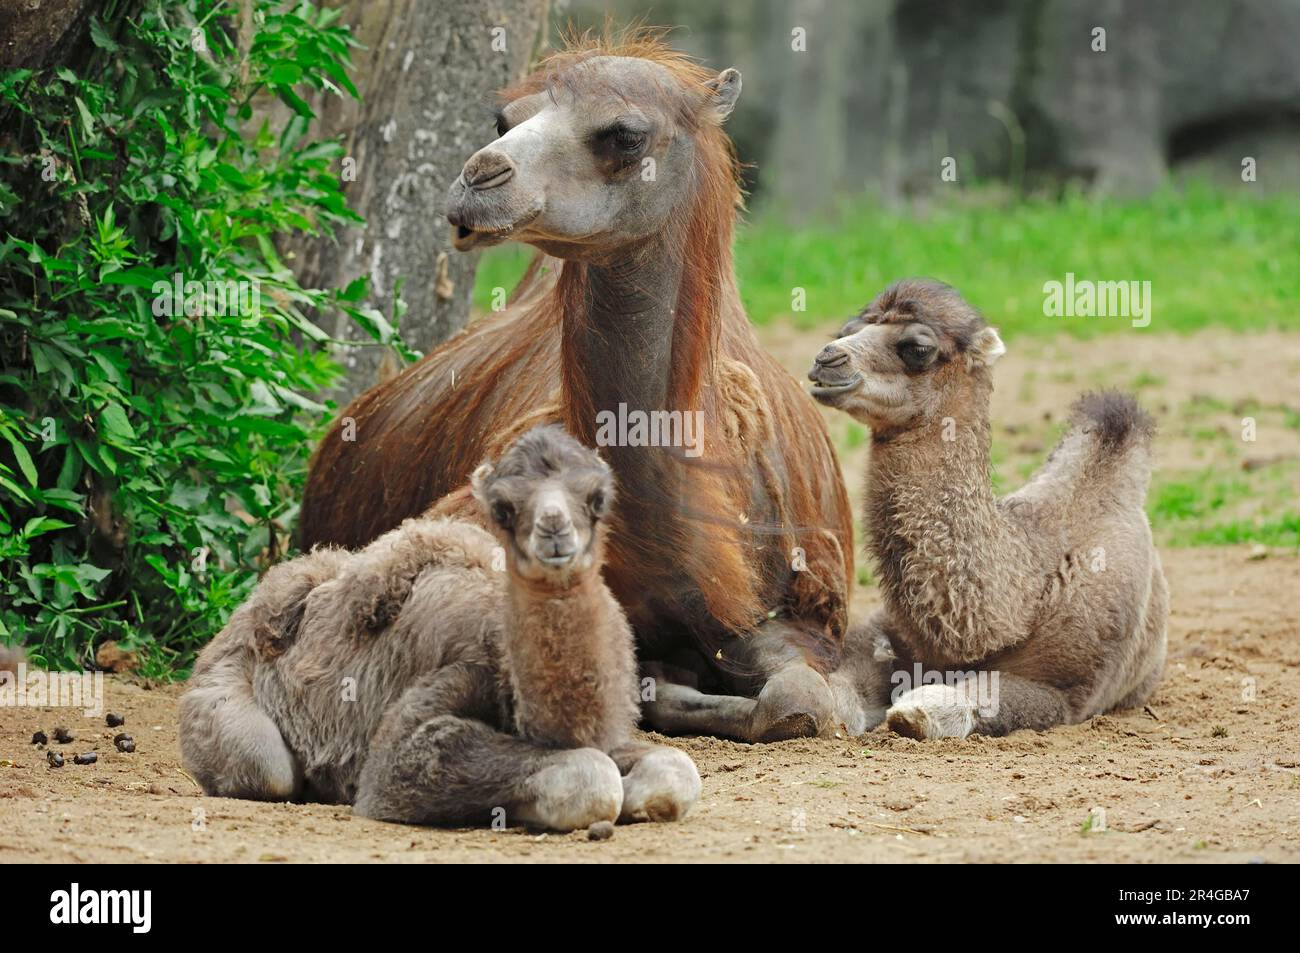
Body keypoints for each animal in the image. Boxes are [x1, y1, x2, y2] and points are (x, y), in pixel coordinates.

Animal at [180, 425, 701, 830]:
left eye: (596, 497)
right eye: (504, 506)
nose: (554, 529)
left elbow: (676, 769)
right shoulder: (435, 705)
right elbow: (590, 778)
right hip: (217, 699)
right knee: (269, 769)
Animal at [808, 279, 1168, 738]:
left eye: (917, 348)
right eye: (848, 329)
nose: (826, 359)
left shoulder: (1067, 690)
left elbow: (979, 696)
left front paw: (913, 714)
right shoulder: (892, 631)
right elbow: (839, 683)